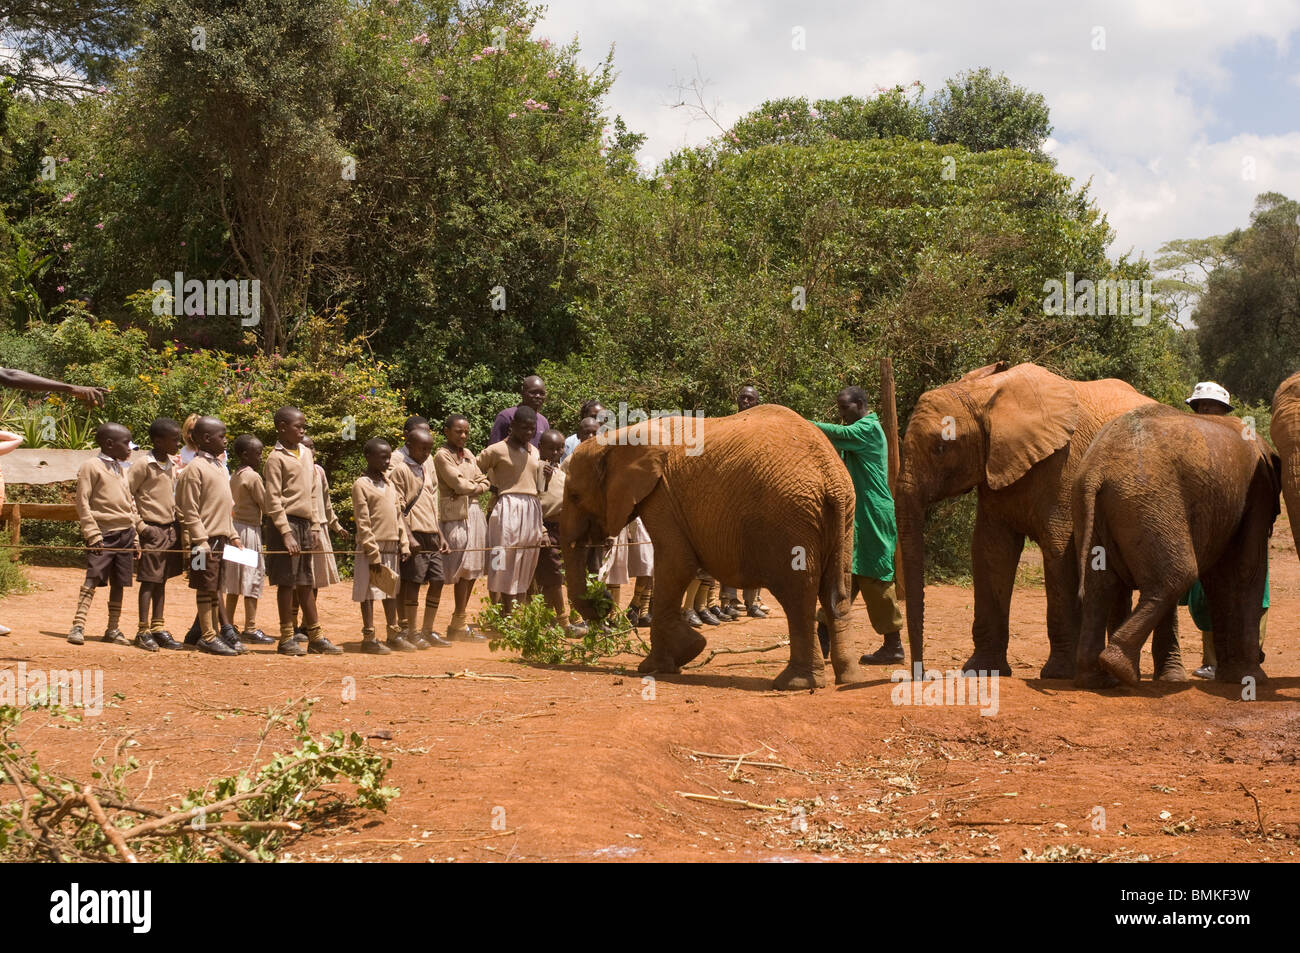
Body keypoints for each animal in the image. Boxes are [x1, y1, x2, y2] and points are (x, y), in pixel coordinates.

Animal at [558, 405, 859, 690]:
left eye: (575, 495)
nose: (604, 605)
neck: (618, 438)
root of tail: (831, 478)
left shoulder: (662, 497)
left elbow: (676, 565)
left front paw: (660, 664)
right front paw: (684, 653)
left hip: (792, 518)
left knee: (798, 594)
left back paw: (794, 684)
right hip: (842, 520)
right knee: (835, 590)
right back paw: (847, 677)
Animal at [896, 362, 1156, 679]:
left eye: (940, 449)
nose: (920, 675)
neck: (984, 397)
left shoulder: (1065, 465)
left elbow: (1059, 551)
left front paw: (1059, 674)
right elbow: (990, 551)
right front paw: (982, 671)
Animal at [1072, 405, 1279, 687]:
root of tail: (1096, 470)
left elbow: (1219, 579)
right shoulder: (1258, 493)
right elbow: (1245, 571)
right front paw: (1251, 678)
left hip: (1091, 506)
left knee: (1100, 587)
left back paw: (1095, 679)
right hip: (1149, 499)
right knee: (1177, 575)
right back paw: (1120, 670)